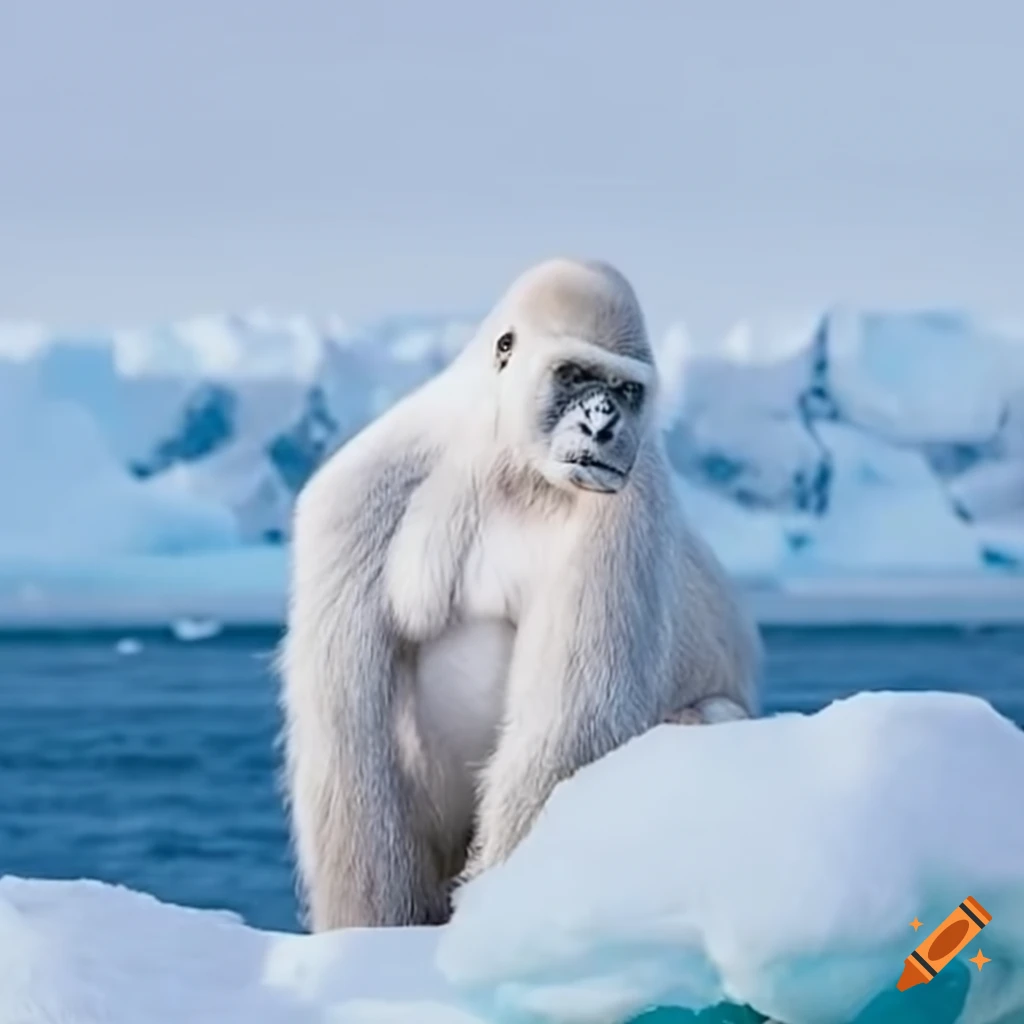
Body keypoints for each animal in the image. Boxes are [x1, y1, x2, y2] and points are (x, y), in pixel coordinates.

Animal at [279, 258, 762, 931]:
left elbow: (571, 720)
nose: (602, 425)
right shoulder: (366, 493)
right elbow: (348, 733)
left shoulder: (624, 511)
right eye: (575, 372)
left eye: (627, 388)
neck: (510, 466)